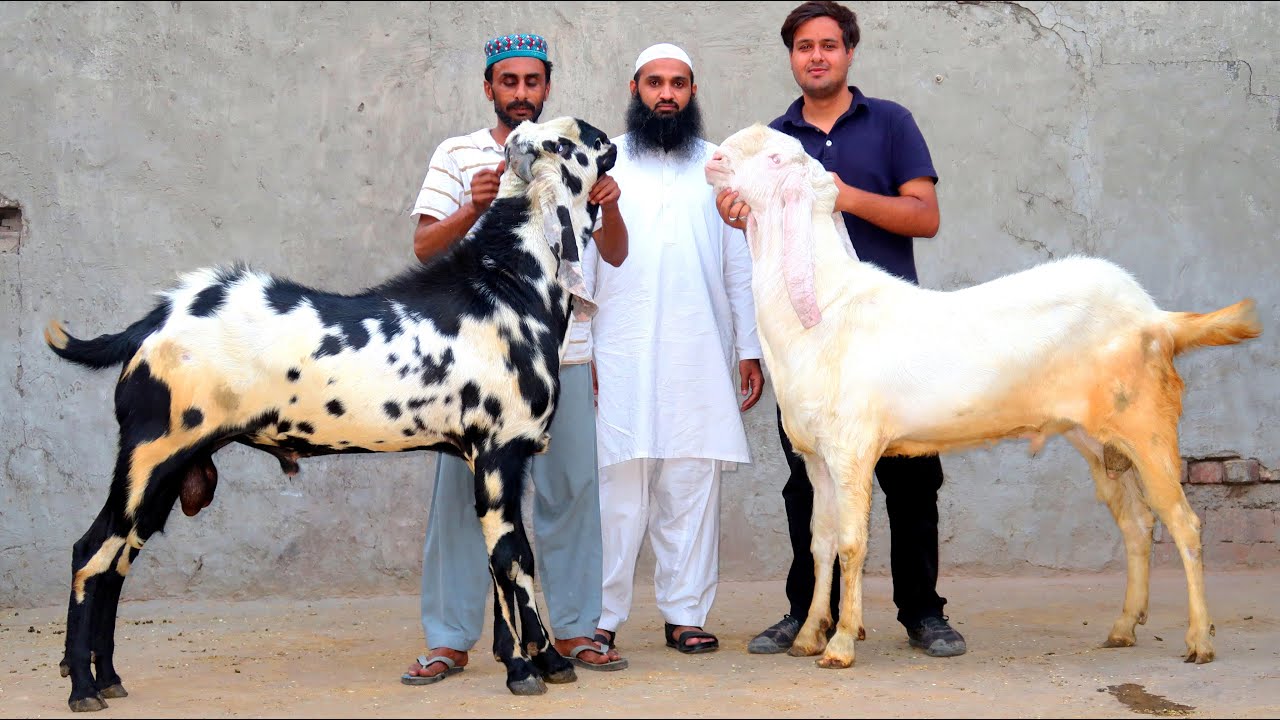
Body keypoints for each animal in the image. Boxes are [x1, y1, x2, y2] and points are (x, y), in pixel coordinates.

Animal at [43, 116, 618, 711]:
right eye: (572, 143)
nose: (607, 137)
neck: (506, 288)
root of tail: (155, 321)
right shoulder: (501, 454)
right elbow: (514, 558)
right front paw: (534, 667)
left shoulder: (489, 461)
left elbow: (499, 560)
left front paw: (526, 659)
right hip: (148, 460)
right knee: (91, 554)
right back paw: (83, 687)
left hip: (163, 475)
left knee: (116, 564)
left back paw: (108, 677)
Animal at [704, 123, 1262, 670]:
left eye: (775, 158)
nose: (714, 159)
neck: (827, 307)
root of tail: (1157, 318)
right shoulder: (815, 456)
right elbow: (819, 543)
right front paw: (807, 637)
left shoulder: (852, 449)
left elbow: (851, 544)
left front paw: (840, 645)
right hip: (1098, 440)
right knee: (1137, 523)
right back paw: (1124, 627)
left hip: (1148, 426)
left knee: (1184, 523)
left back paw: (1199, 640)